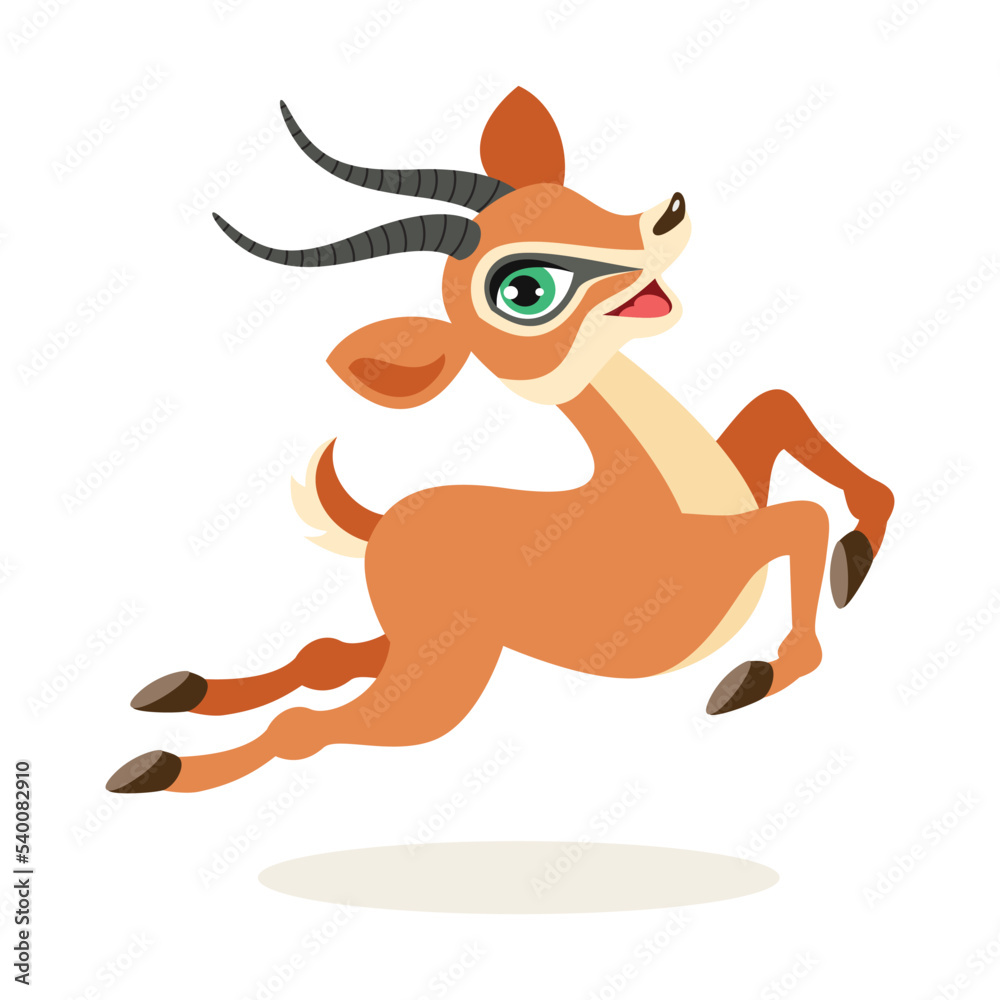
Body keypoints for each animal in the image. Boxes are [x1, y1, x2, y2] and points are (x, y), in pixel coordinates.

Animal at [107, 88, 893, 795]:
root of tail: (382, 525)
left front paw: (858, 552)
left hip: (414, 648)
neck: (667, 490)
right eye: (524, 290)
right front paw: (762, 670)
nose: (666, 214)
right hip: (439, 685)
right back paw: (155, 769)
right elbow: (800, 519)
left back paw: (181, 690)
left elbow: (779, 409)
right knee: (307, 725)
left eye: (574, 197)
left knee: (326, 655)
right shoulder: (707, 571)